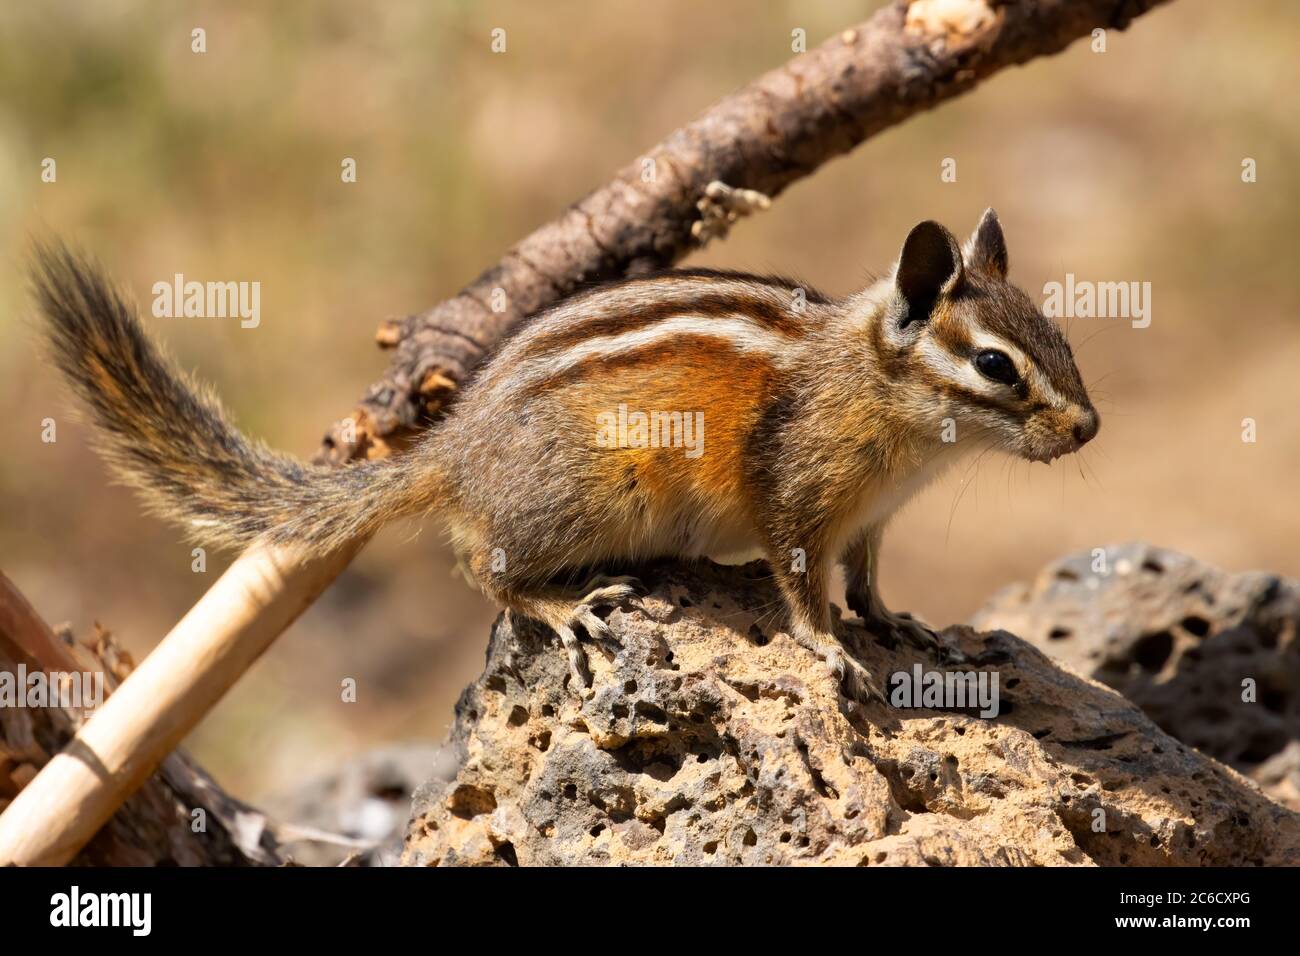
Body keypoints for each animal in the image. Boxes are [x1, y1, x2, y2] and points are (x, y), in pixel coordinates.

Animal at [32, 208, 1098, 705]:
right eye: (996, 366)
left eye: (1059, 335)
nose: (1087, 429)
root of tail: (452, 450)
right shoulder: (794, 499)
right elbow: (801, 585)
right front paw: (829, 647)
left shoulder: (871, 521)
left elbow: (870, 583)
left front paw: (907, 627)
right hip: (589, 495)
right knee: (478, 563)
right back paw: (562, 607)